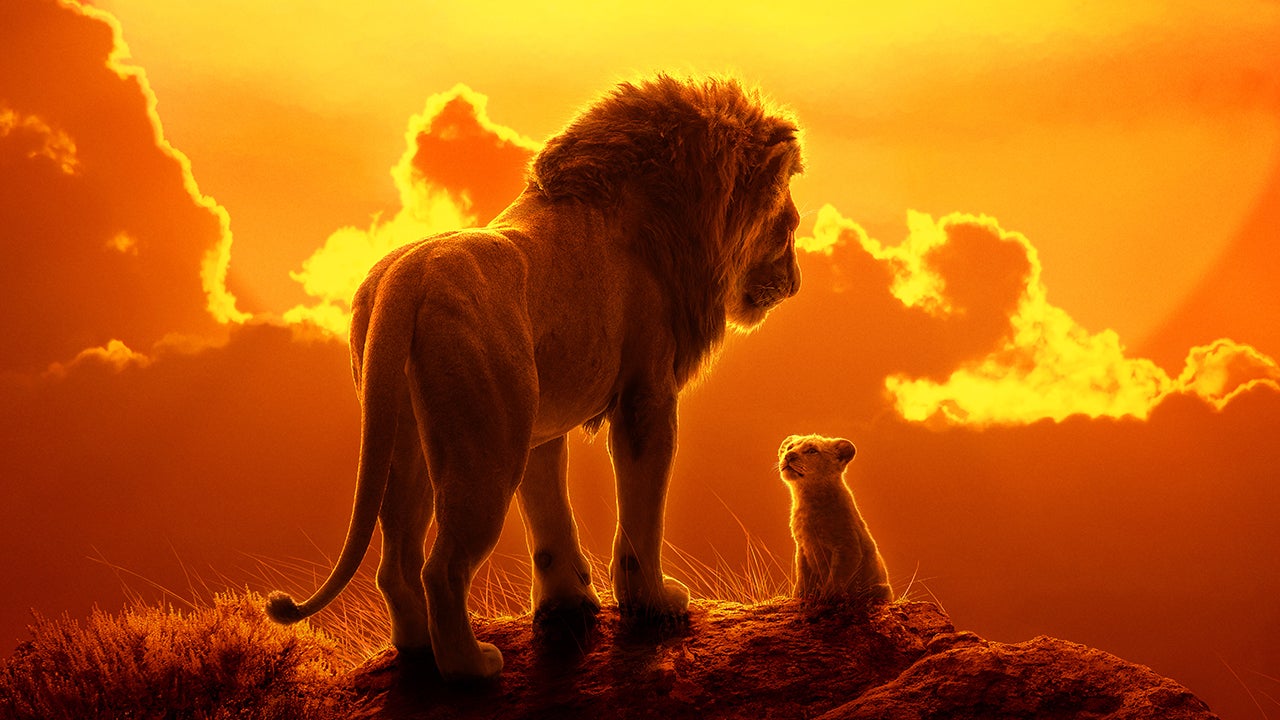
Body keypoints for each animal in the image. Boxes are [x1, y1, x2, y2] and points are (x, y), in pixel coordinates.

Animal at [266, 75, 805, 680]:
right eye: (789, 227)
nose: (796, 282)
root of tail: (406, 279)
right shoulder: (646, 396)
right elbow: (641, 514)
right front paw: (654, 603)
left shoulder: (540, 422)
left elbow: (549, 516)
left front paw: (567, 604)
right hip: (486, 448)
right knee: (442, 567)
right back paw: (470, 667)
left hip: (408, 440)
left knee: (398, 561)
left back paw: (418, 650)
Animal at [778, 434, 893, 604]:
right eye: (790, 447)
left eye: (812, 451)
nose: (789, 456)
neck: (806, 498)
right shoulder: (803, 548)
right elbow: (802, 576)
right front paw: (800, 597)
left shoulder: (847, 546)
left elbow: (836, 578)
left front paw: (826, 599)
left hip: (881, 588)